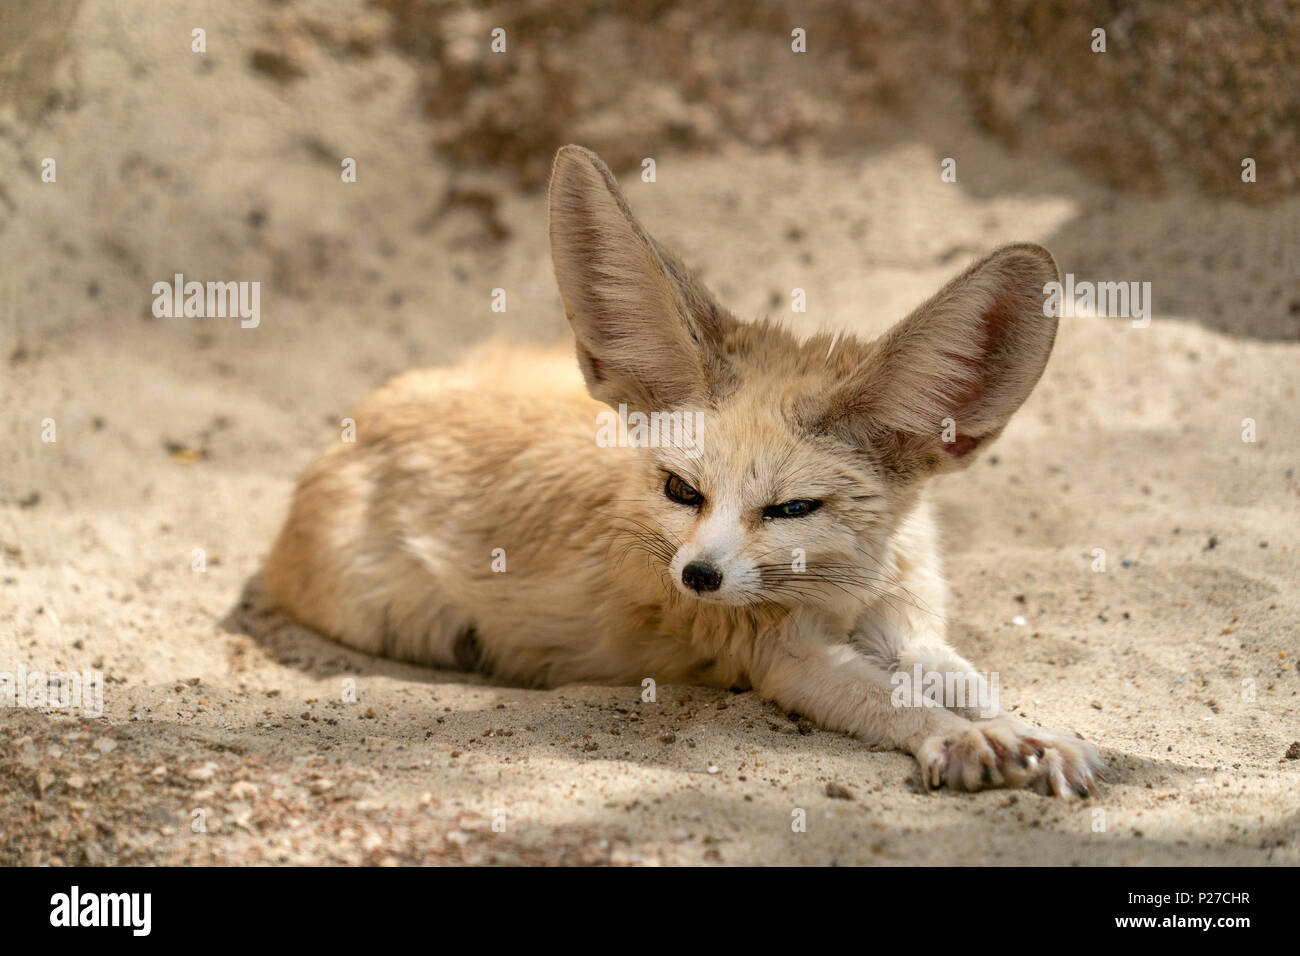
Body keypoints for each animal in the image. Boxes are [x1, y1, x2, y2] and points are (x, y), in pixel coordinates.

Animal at [264, 145, 1103, 798]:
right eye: (681, 491)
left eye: (793, 509)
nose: (697, 576)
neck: (845, 593)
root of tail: (372, 405)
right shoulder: (781, 655)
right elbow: (893, 698)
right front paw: (959, 738)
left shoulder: (906, 618)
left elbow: (964, 679)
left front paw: (1031, 733)